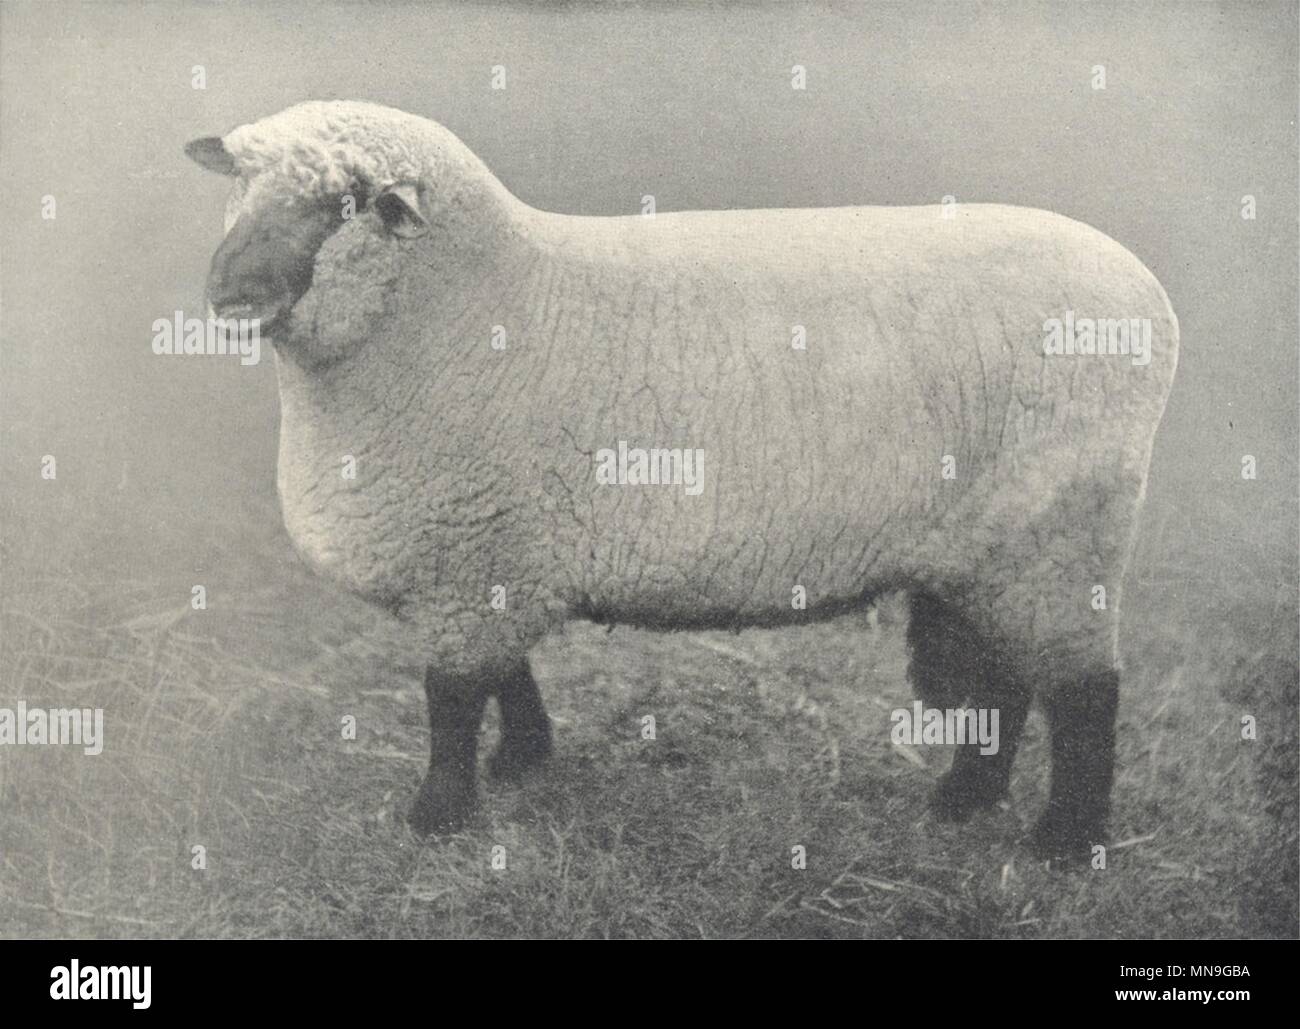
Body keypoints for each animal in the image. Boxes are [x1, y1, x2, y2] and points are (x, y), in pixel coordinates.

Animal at [186, 100, 1179, 859]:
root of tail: (1150, 300)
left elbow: (452, 700)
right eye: (241, 184)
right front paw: (523, 761)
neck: (472, 301)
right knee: (1003, 681)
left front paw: (440, 814)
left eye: (348, 202)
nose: (229, 293)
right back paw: (964, 800)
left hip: (1061, 531)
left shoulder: (468, 551)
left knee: (1085, 692)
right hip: (984, 548)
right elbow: (506, 675)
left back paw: (1065, 843)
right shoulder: (494, 554)